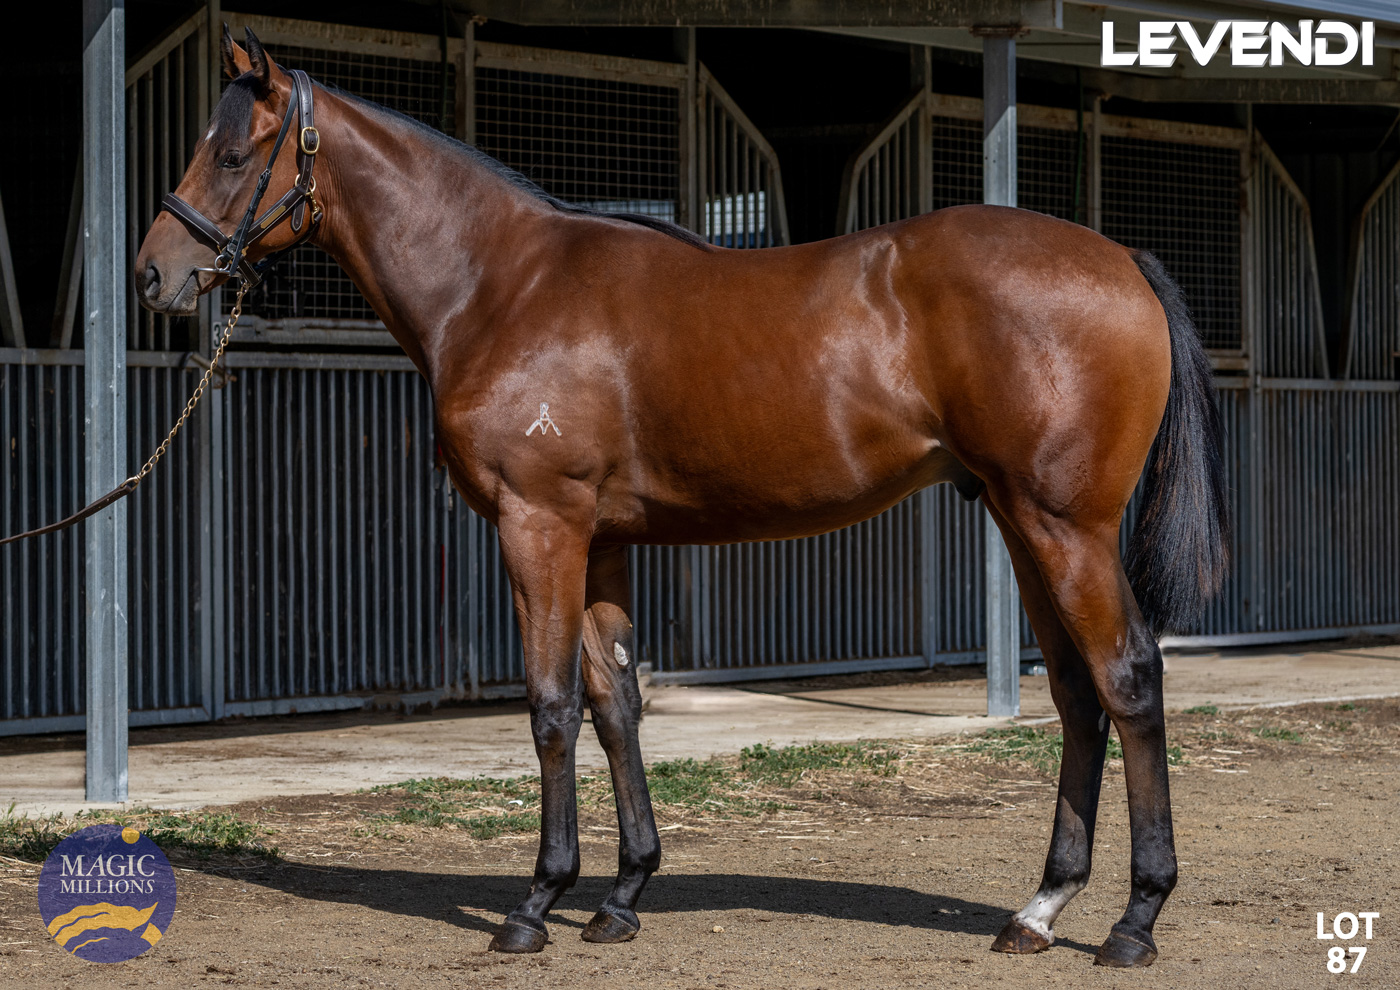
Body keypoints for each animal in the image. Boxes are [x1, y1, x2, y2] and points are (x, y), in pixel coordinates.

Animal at [134, 27, 1228, 968]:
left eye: (230, 154)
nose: (154, 275)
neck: (500, 287)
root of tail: (1119, 259)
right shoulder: (602, 540)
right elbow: (616, 705)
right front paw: (621, 896)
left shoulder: (538, 526)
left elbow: (549, 708)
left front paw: (535, 903)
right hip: (1018, 519)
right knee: (1076, 695)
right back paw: (1038, 910)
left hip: (1063, 525)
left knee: (1127, 679)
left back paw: (1133, 920)